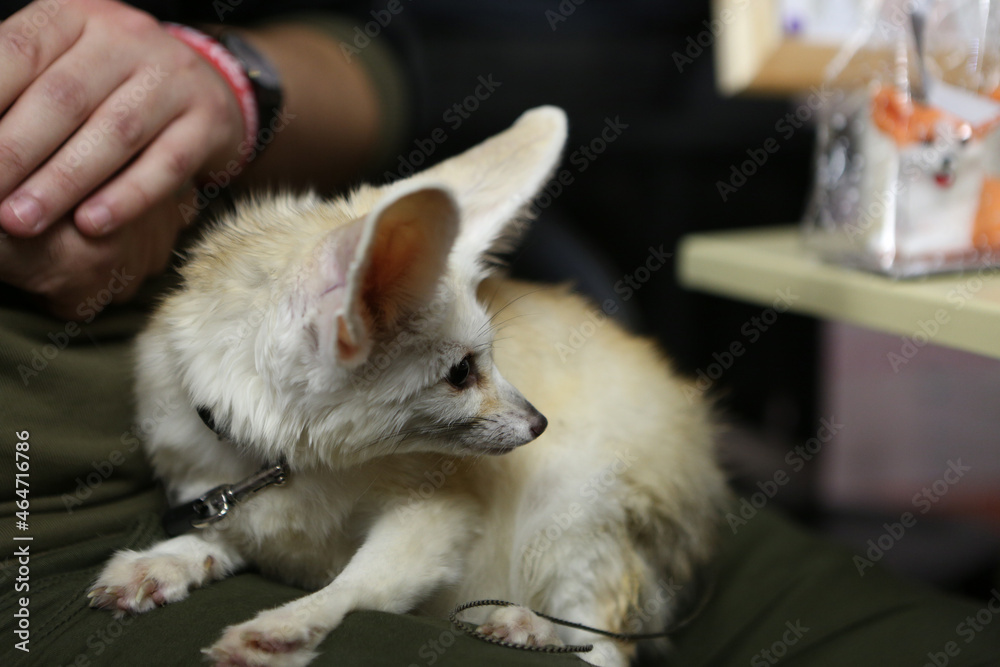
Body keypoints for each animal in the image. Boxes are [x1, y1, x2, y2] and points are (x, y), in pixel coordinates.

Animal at [88, 106, 728, 667]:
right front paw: (162, 563)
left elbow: (355, 585)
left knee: (606, 647)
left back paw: (530, 626)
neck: (284, 464)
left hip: (575, 508)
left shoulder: (436, 520)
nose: (540, 423)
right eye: (461, 372)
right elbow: (217, 541)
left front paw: (286, 626)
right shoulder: (223, 503)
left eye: (489, 359)